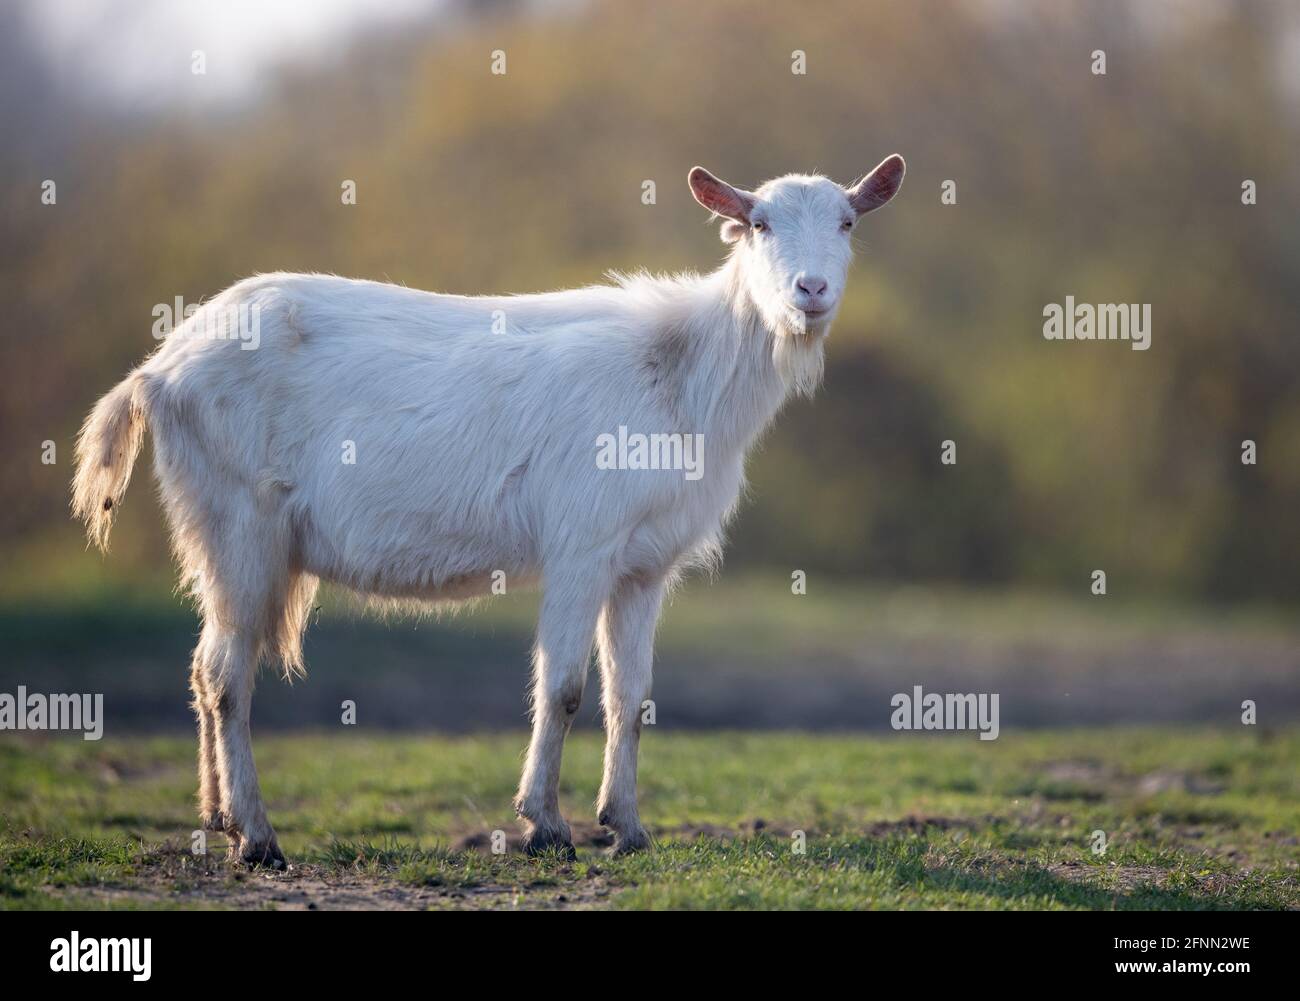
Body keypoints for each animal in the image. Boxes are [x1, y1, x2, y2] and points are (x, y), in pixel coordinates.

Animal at [72, 157, 905, 866]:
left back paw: (216, 815)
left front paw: (627, 827)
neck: (682, 374)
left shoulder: (643, 565)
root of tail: (158, 369)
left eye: (847, 223)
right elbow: (564, 686)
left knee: (205, 663)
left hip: (214, 533)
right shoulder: (582, 544)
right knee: (225, 674)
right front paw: (546, 825)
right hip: (237, 519)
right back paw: (257, 837)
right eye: (759, 222)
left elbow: (630, 698)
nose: (810, 290)